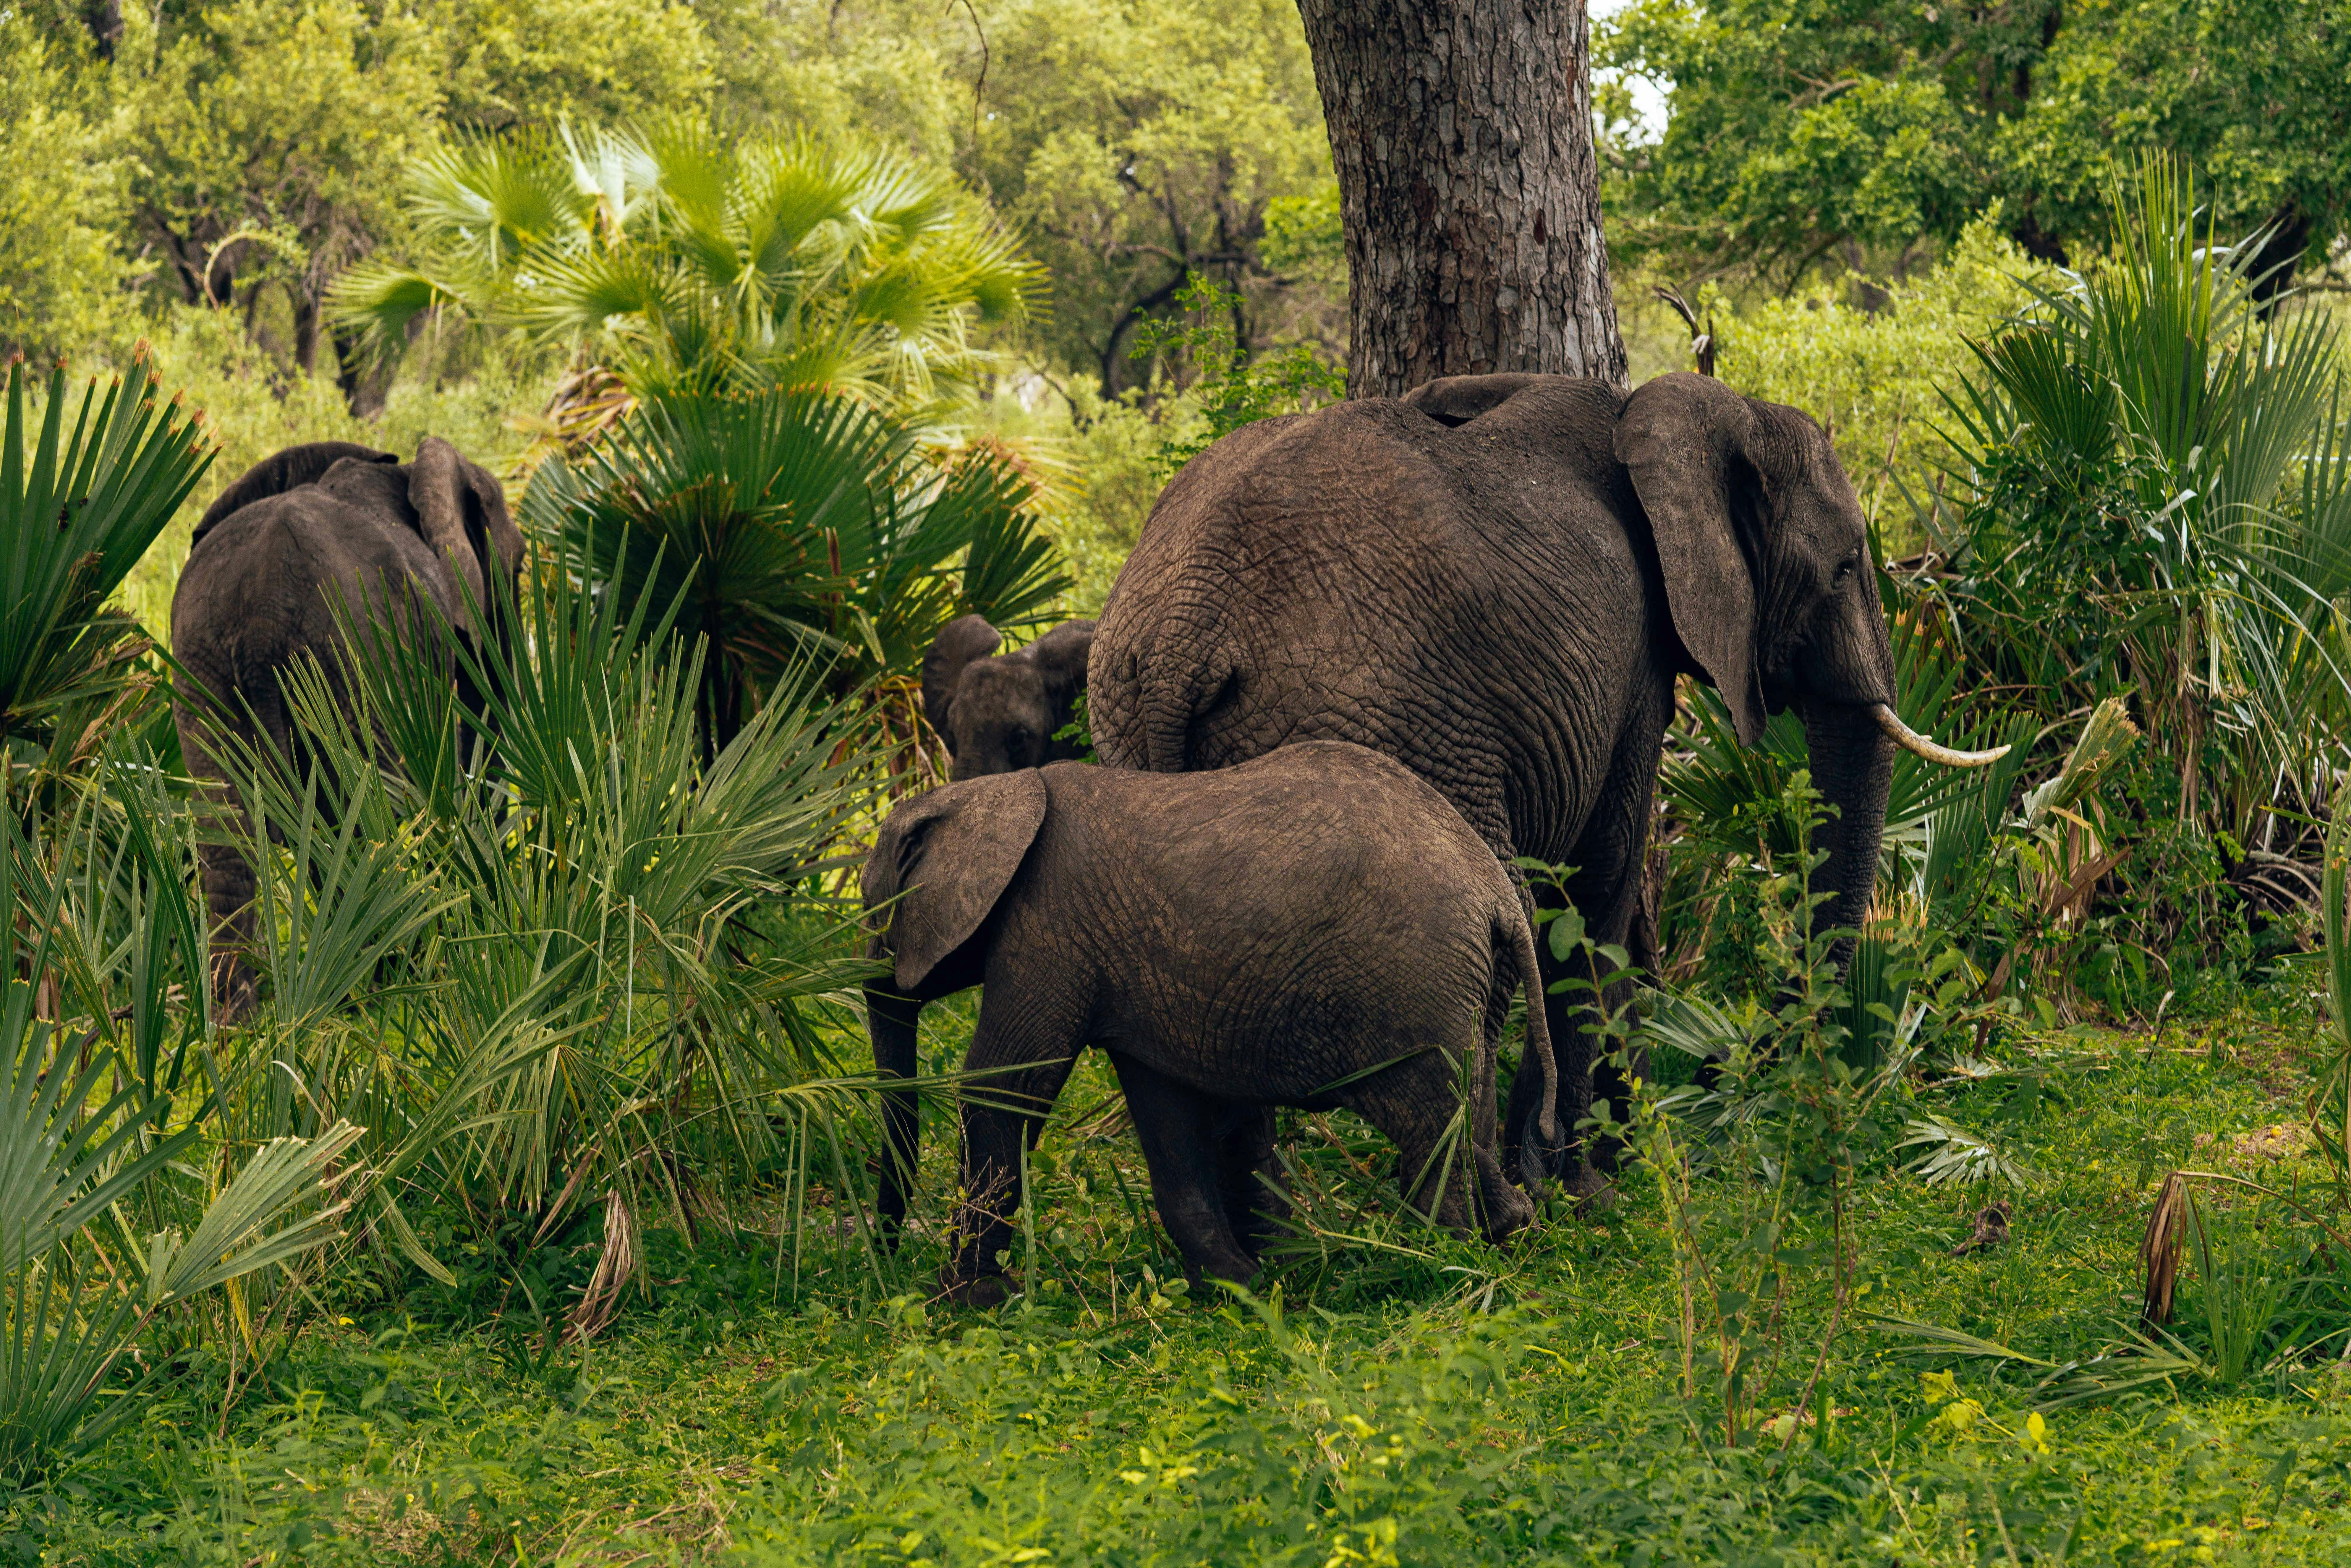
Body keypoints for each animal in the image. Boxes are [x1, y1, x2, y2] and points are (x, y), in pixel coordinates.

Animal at [171, 438, 523, 1019]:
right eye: (517, 565)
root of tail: (262, 615)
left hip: (207, 669)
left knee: (229, 838)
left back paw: (240, 1025)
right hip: (346, 656)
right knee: (355, 832)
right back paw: (378, 993)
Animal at [860, 740, 1559, 1303]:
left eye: (873, 921)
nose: (884, 1254)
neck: (991, 791)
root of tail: (1496, 891)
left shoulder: (1045, 928)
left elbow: (1000, 1089)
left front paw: (966, 1301)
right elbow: (1166, 1114)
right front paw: (1239, 1285)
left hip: (1412, 983)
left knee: (1431, 1124)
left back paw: (1446, 1261)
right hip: (1460, 987)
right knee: (1466, 1105)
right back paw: (1507, 1231)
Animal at [1089, 372, 2003, 1201]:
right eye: (1846, 566)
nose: (1716, 1064)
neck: (1682, 406)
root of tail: (1182, 639)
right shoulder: (1632, 663)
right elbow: (1598, 881)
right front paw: (1587, 1181)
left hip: (1128, 720)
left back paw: (1277, 1236)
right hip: (1388, 723)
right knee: (1496, 919)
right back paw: (1497, 1209)